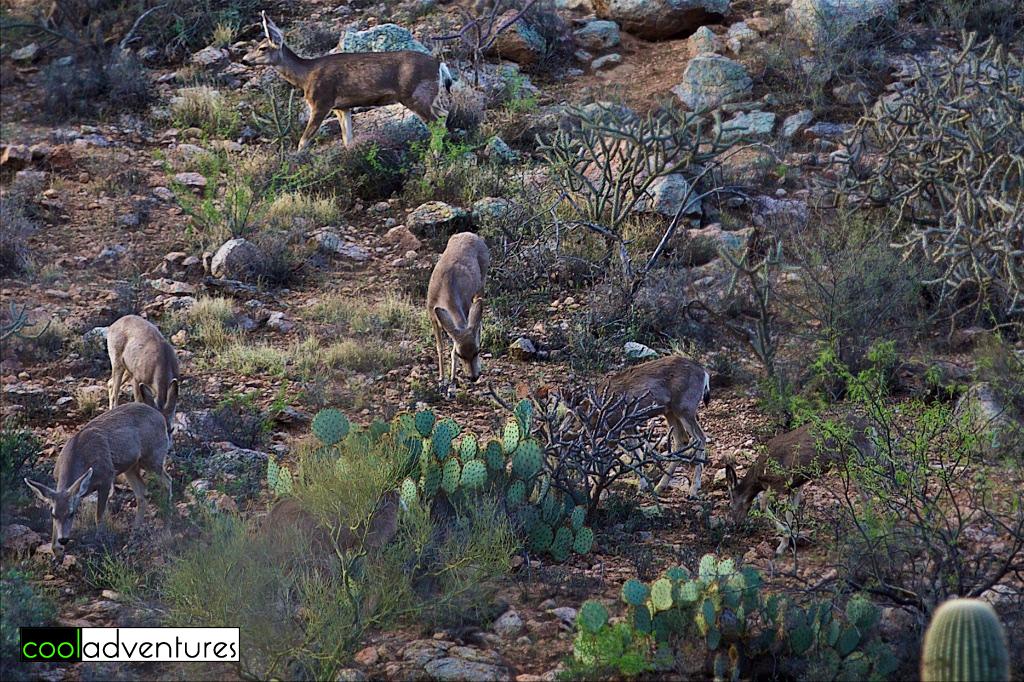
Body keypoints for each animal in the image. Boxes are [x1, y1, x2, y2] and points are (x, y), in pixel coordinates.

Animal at [24, 403, 173, 554]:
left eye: (72, 513)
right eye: (53, 514)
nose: (63, 540)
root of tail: (160, 416)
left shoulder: (107, 476)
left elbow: (99, 515)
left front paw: (99, 542)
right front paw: (56, 550)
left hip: (152, 457)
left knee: (167, 481)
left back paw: (167, 525)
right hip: (131, 467)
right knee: (142, 494)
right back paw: (134, 534)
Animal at [244, 12, 455, 151]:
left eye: (263, 48)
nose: (245, 59)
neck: (305, 76)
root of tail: (439, 65)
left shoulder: (322, 102)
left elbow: (303, 141)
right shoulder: (342, 107)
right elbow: (348, 139)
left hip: (414, 94)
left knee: (436, 122)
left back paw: (434, 155)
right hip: (429, 96)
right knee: (444, 115)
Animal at [427, 232, 490, 385]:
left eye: (477, 351)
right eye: (461, 355)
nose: (473, 377)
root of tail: (471, 234)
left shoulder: (465, 308)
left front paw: (452, 379)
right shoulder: (432, 314)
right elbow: (440, 347)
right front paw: (441, 378)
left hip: (482, 281)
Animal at [591, 355, 711, 497]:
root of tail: (704, 373)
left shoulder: (615, 426)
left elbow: (607, 460)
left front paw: (597, 492)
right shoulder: (628, 425)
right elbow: (636, 454)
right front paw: (642, 486)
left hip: (684, 408)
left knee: (700, 438)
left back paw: (693, 490)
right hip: (670, 412)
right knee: (682, 440)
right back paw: (660, 486)